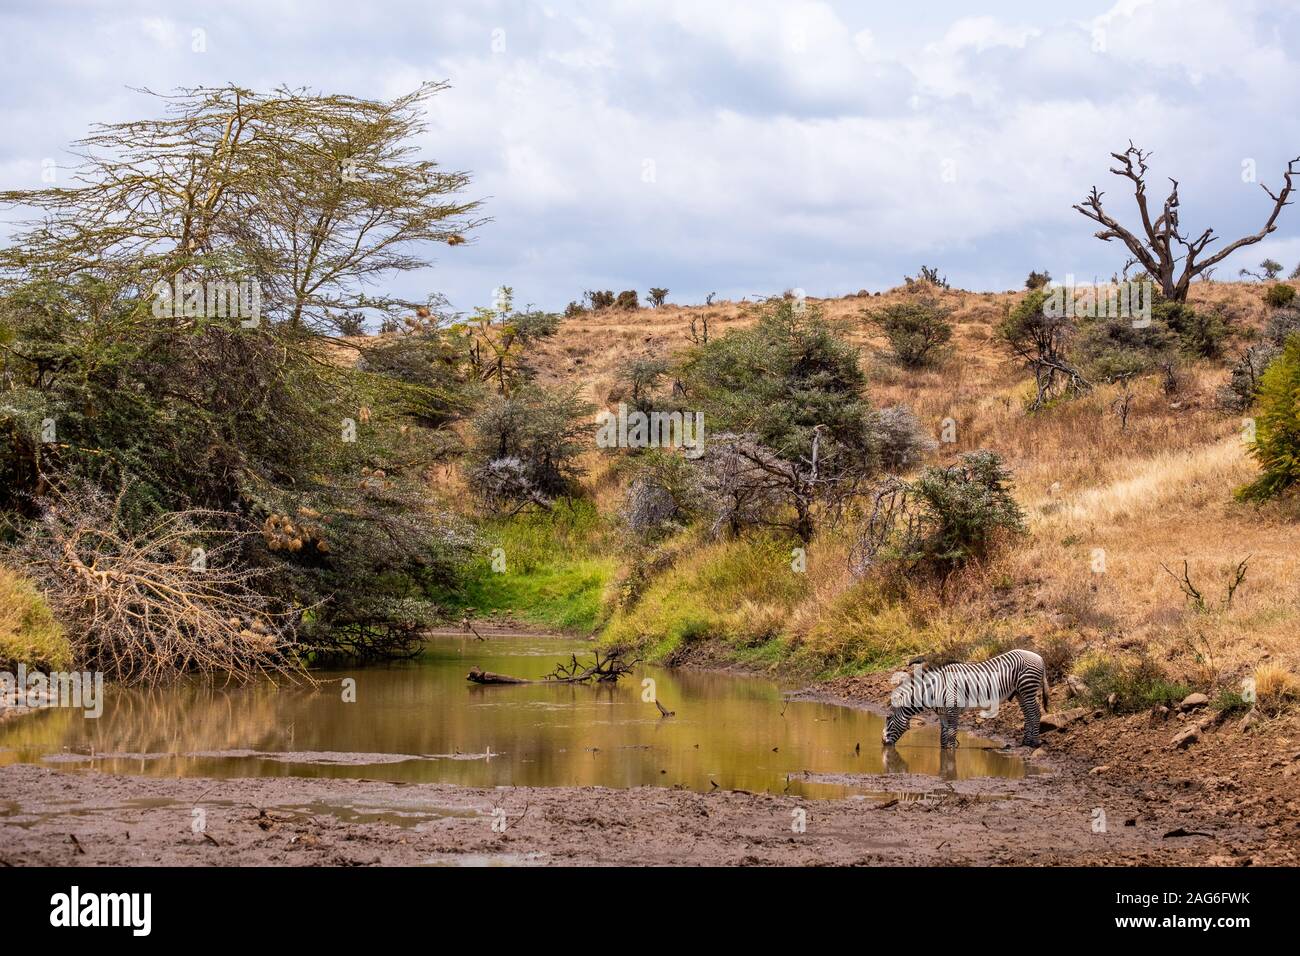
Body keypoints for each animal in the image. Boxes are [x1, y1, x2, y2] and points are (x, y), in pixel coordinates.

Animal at [881, 649, 1049, 749]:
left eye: (888, 718)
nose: (882, 742)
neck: (934, 690)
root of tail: (1039, 657)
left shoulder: (953, 710)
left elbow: (951, 734)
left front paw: (951, 752)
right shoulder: (942, 713)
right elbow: (943, 736)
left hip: (1027, 688)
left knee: (1035, 713)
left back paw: (1034, 743)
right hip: (1020, 692)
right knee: (1028, 714)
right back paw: (1026, 741)